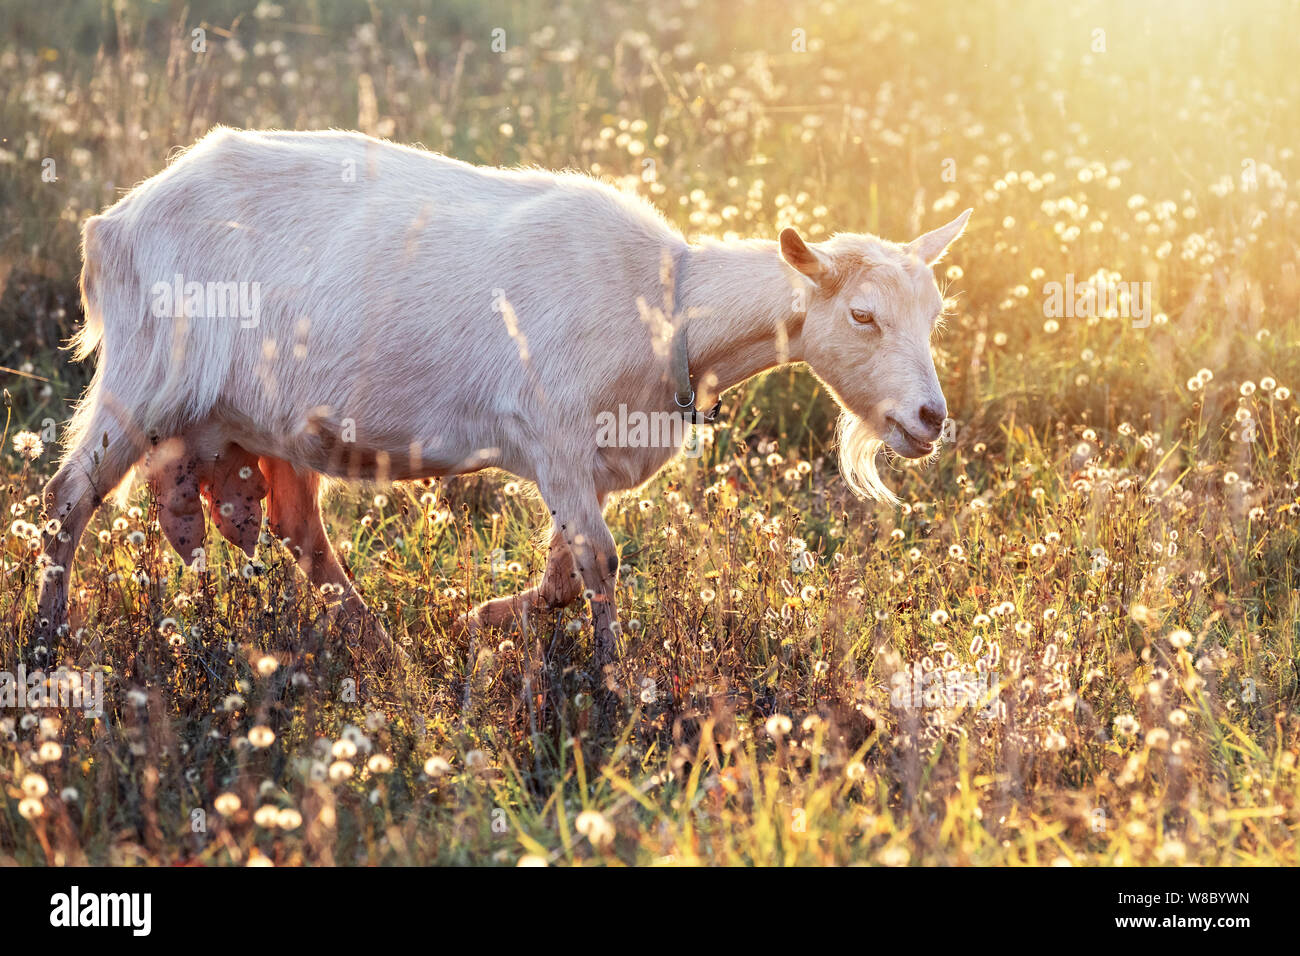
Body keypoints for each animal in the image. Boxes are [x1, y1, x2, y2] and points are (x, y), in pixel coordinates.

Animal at [37, 127, 970, 670]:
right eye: (862, 314)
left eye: (934, 313)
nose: (930, 419)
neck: (667, 305)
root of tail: (111, 224)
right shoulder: (552, 433)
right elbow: (599, 565)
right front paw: (616, 689)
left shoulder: (586, 463)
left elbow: (563, 572)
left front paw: (483, 621)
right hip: (145, 378)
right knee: (66, 495)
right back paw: (45, 644)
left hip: (262, 422)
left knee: (301, 527)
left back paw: (384, 648)